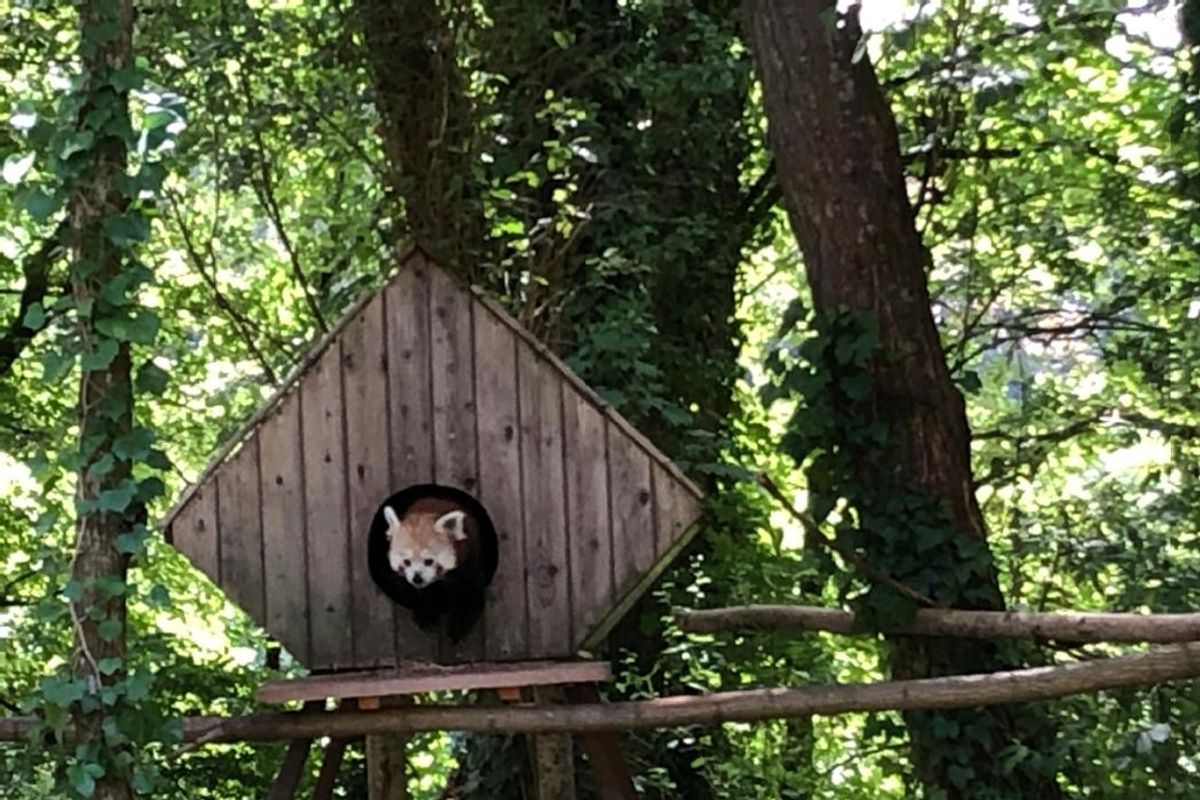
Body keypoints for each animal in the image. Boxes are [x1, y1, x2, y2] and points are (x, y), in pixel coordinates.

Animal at [366, 483, 499, 642]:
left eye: (429, 561)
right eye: (406, 562)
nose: (417, 578)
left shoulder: (471, 562)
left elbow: (471, 595)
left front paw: (458, 628)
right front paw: (426, 616)